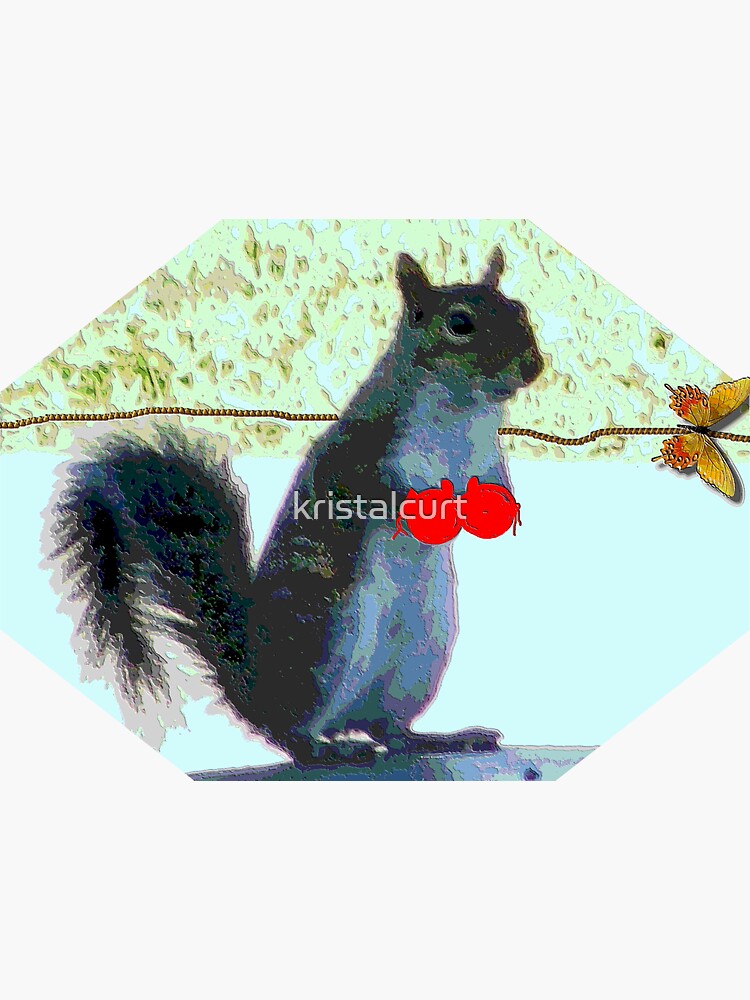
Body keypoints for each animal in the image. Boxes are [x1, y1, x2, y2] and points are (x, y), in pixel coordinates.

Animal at [46, 247, 543, 766]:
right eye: (460, 324)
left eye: (520, 310)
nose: (532, 367)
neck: (462, 412)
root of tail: (253, 687)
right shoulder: (364, 453)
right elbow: (377, 493)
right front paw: (428, 508)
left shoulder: (486, 459)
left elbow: (499, 488)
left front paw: (500, 512)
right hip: (325, 636)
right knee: (293, 732)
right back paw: (325, 748)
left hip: (420, 654)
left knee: (387, 729)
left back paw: (437, 739)